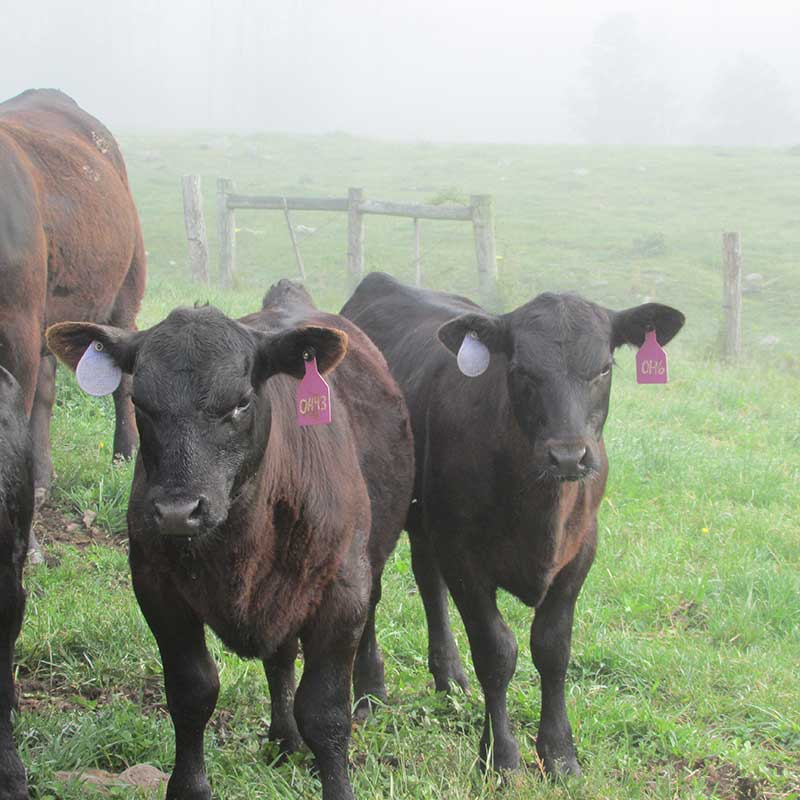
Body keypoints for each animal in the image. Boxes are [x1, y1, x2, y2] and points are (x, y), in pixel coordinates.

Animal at [0, 88, 146, 559]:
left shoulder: (17, 330)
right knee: (45, 395)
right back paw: (42, 479)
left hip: (123, 291)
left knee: (123, 383)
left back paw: (124, 454)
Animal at [46, 286, 414, 800]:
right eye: (140, 402)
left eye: (240, 403)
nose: (177, 510)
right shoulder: (155, 585)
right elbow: (192, 691)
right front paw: (189, 787)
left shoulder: (342, 589)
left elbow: (326, 711)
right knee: (280, 658)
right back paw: (283, 739)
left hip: (370, 559)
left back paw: (369, 695)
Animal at [341, 272, 685, 776]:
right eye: (522, 370)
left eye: (604, 368)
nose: (568, 455)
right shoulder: (464, 556)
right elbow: (497, 652)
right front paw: (500, 758)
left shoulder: (581, 552)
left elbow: (553, 648)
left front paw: (559, 754)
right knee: (374, 592)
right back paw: (369, 693)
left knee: (428, 582)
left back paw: (449, 677)